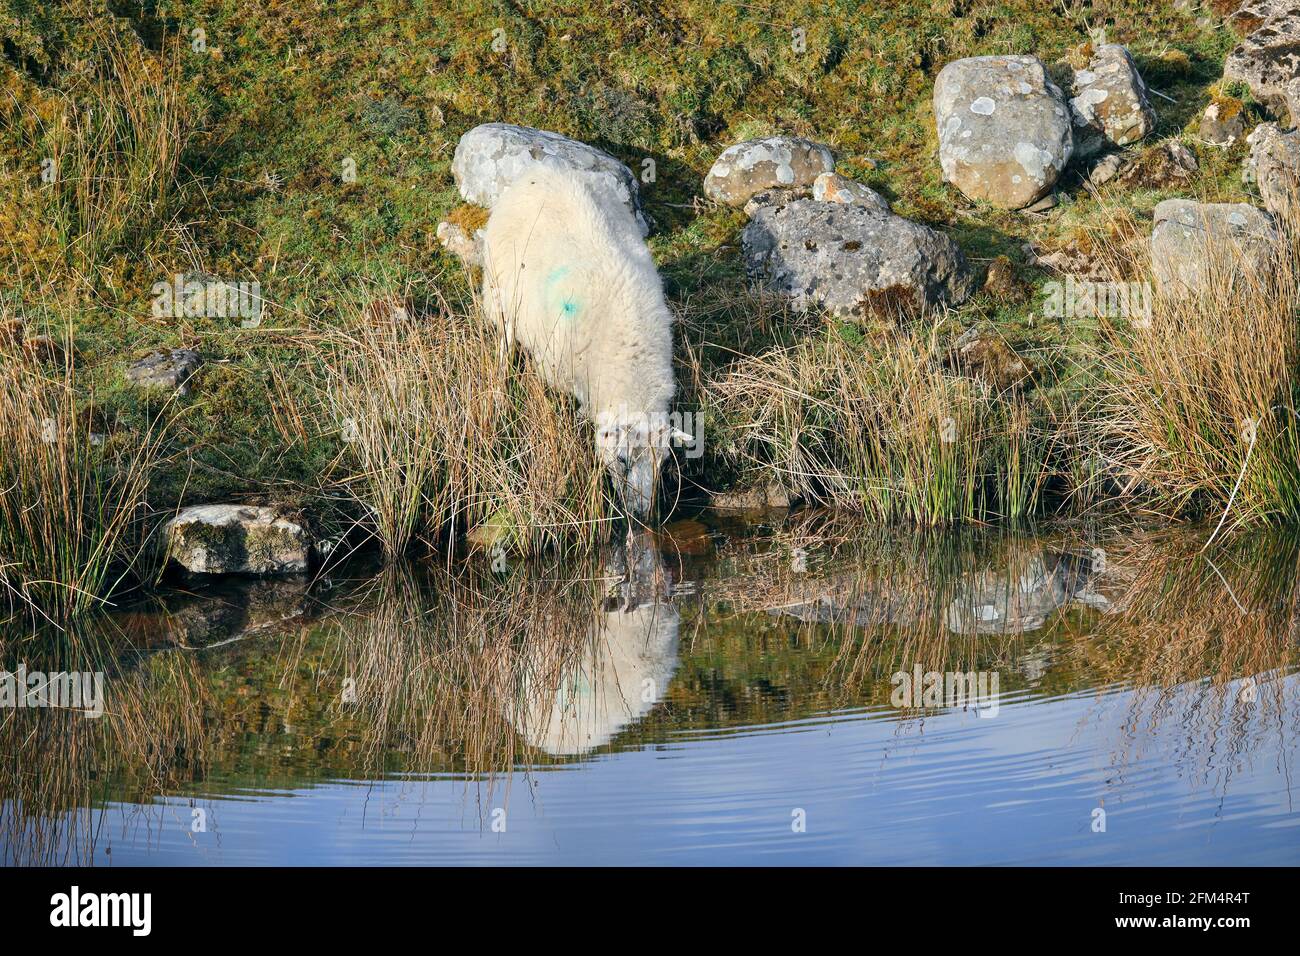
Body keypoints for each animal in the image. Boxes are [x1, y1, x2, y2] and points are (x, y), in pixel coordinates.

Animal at [480, 163, 687, 519]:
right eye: (622, 460)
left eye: (662, 463)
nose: (641, 517)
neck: (629, 351)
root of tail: (544, 168)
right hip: (502, 288)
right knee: (506, 337)